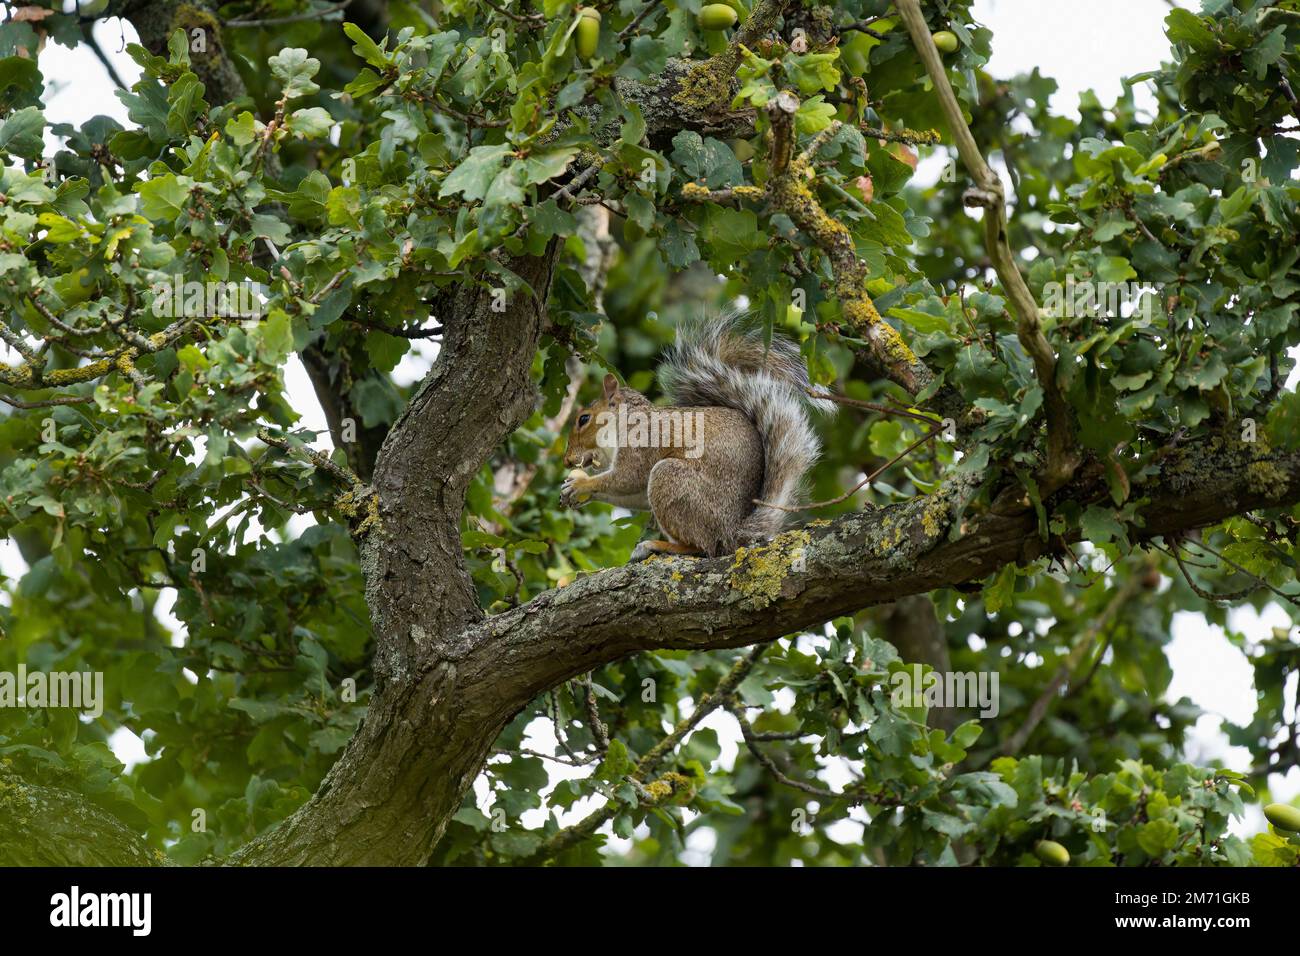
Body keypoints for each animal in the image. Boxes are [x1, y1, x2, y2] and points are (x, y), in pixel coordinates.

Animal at [560, 310, 833, 560]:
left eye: (584, 419)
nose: (567, 460)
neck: (625, 421)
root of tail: (732, 533)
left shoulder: (642, 441)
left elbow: (627, 478)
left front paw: (581, 484)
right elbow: (634, 493)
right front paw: (577, 493)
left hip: (672, 481)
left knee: (703, 547)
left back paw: (659, 546)